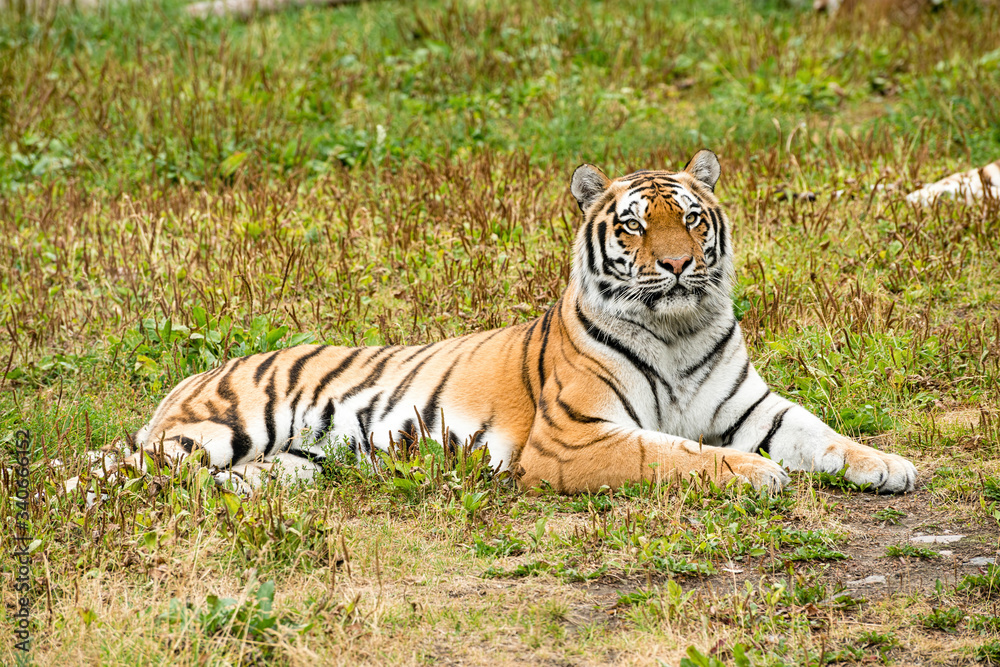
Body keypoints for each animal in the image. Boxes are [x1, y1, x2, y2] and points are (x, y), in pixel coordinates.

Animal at [64, 150, 916, 498]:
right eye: (636, 226)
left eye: (693, 218)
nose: (677, 264)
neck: (676, 332)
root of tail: (199, 369)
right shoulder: (574, 438)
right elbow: (673, 454)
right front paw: (754, 474)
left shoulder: (754, 406)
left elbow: (823, 435)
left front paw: (890, 465)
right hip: (207, 432)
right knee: (98, 473)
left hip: (287, 463)